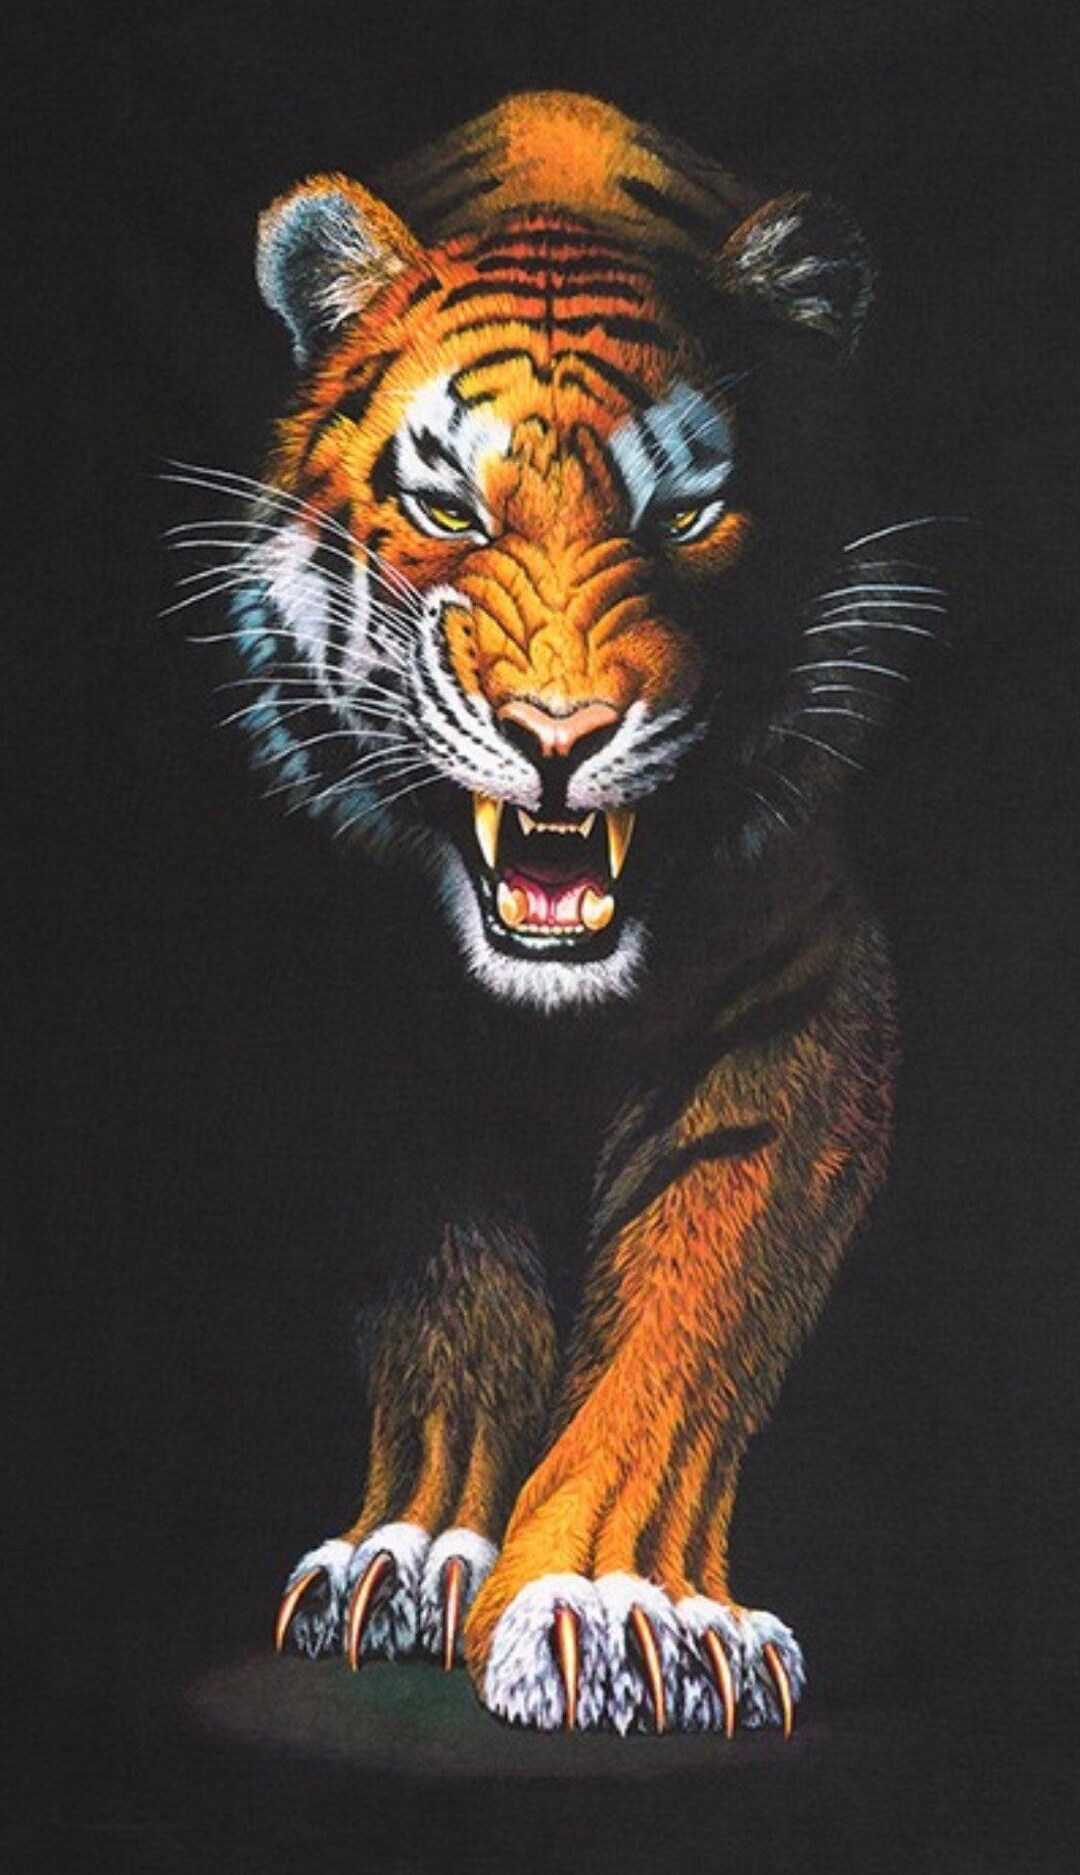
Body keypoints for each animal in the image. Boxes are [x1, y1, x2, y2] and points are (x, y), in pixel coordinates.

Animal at [183, 90, 940, 1734]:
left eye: (688, 513)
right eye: (447, 501)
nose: (558, 731)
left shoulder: (804, 1004)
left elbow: (687, 1329)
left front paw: (625, 1606)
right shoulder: (377, 1032)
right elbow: (451, 1305)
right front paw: (415, 1554)